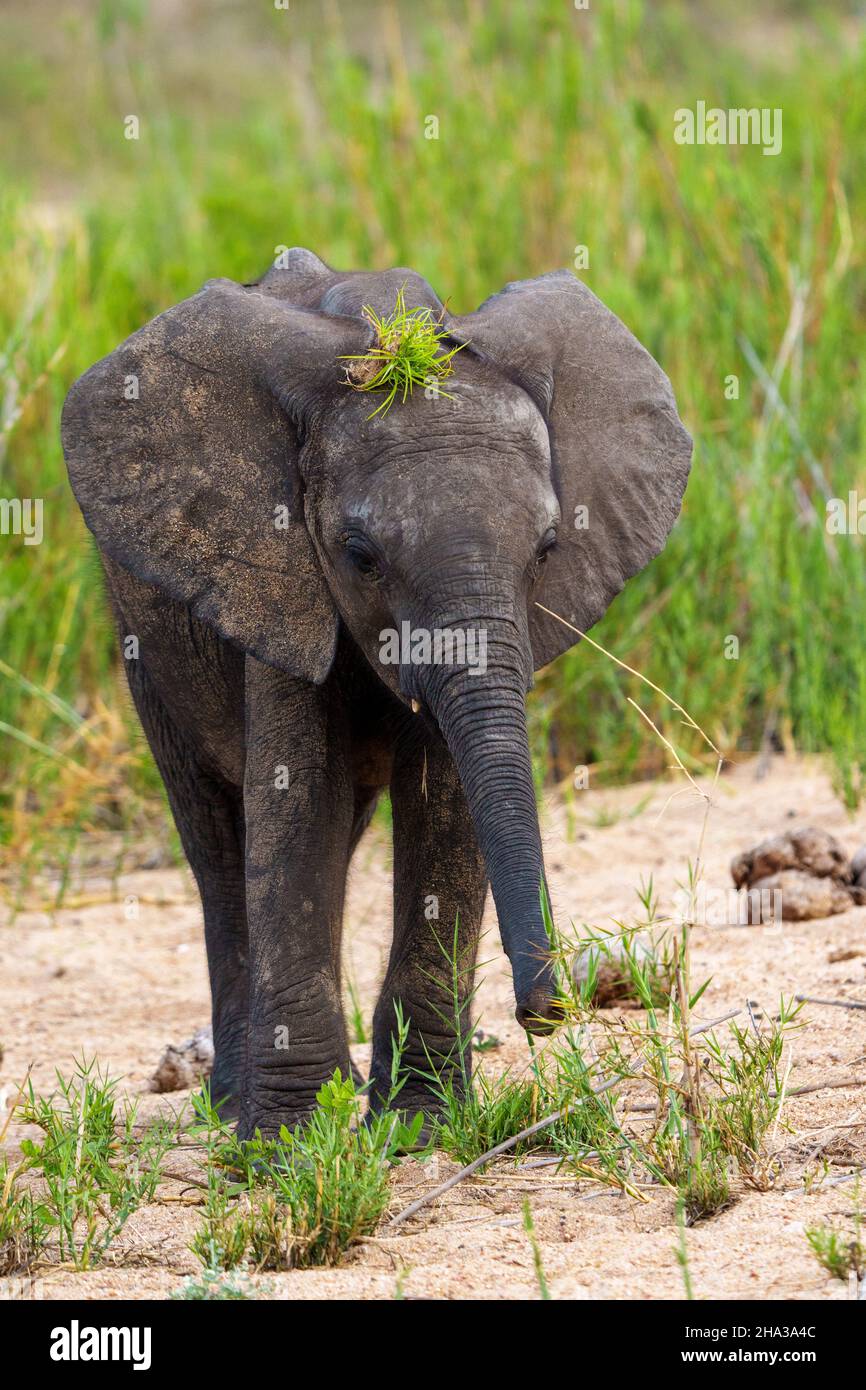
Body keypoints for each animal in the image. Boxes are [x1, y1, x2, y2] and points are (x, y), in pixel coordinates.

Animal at [61, 249, 691, 1139]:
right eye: (359, 555)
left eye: (548, 548)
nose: (549, 1012)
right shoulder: (274, 573)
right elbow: (298, 805)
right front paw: (289, 1143)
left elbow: (447, 803)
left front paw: (420, 1126)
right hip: (140, 632)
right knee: (214, 840)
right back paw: (232, 1105)